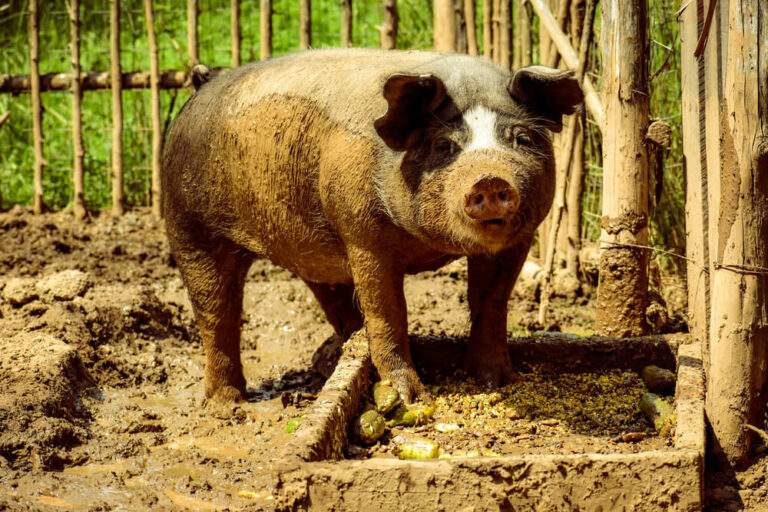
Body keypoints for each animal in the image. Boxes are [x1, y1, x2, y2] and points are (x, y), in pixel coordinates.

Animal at [162, 48, 583, 403]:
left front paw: (501, 383)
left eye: (521, 138)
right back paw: (227, 405)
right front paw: (413, 399)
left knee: (335, 302)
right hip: (188, 224)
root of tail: (203, 84)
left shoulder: (518, 240)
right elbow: (387, 312)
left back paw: (327, 361)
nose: (490, 179)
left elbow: (492, 303)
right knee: (216, 311)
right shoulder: (363, 236)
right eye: (444, 145)